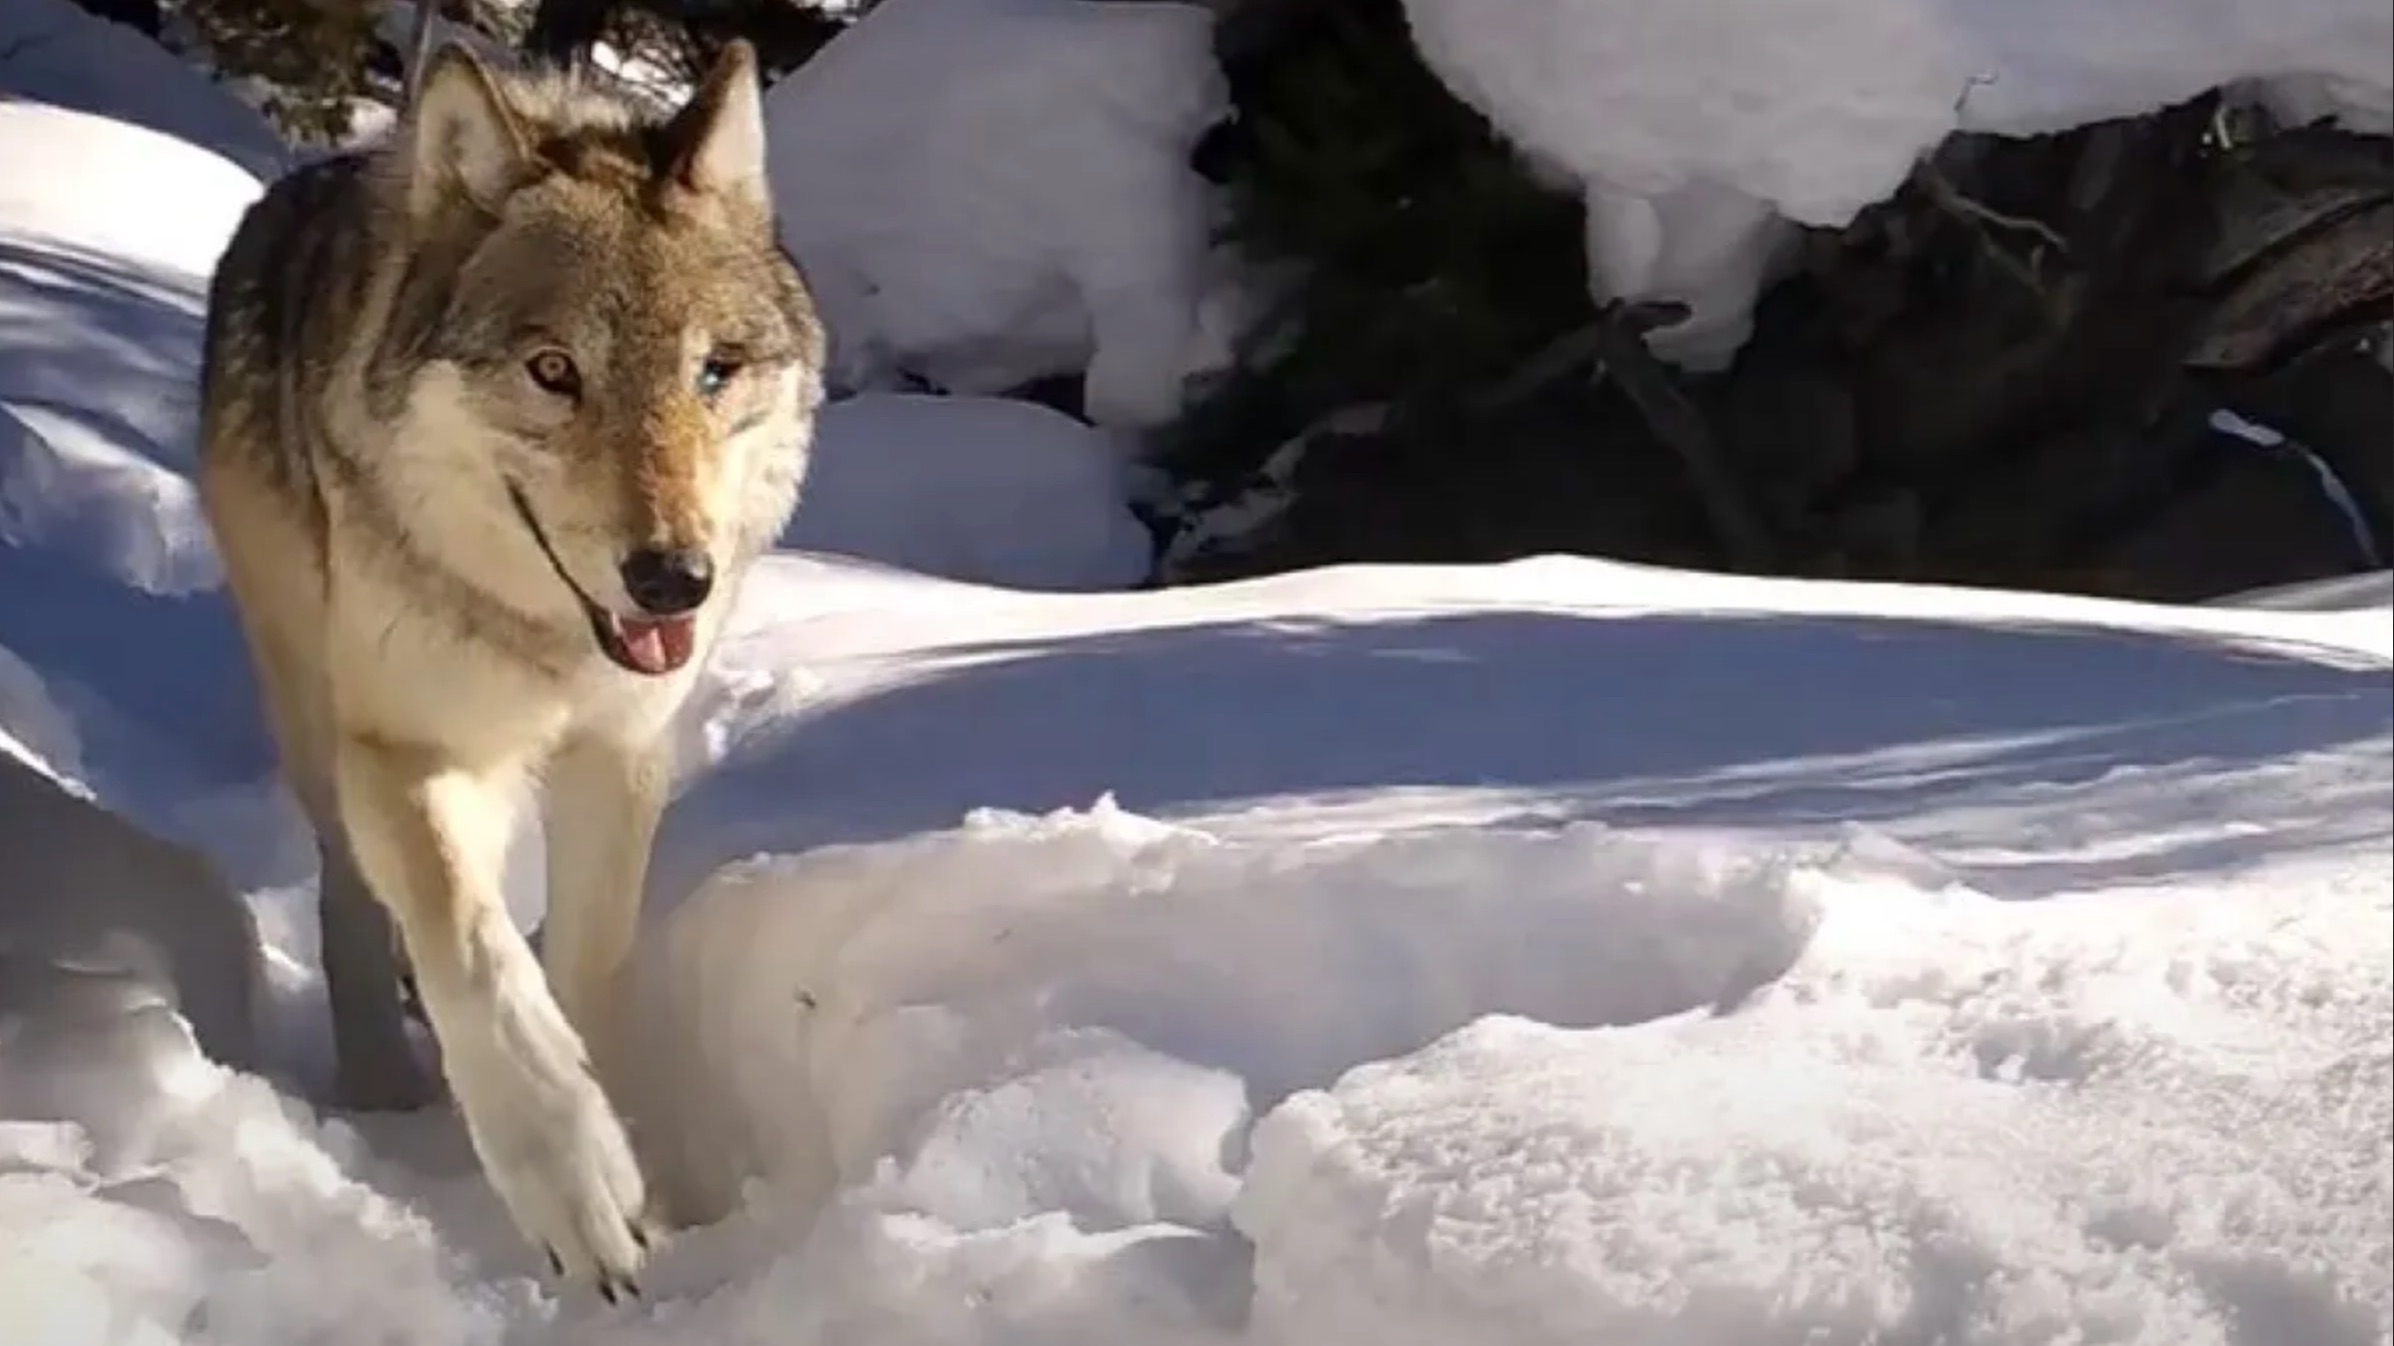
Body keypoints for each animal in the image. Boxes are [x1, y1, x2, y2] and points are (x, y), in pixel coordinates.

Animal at [195, 39, 824, 1296]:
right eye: (553, 369)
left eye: (716, 370)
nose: (674, 580)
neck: (548, 640)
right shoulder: (405, 747)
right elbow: (479, 958)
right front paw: (577, 1189)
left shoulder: (619, 754)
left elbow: (584, 967)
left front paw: (640, 1179)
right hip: (314, 709)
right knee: (356, 891)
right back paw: (383, 1078)